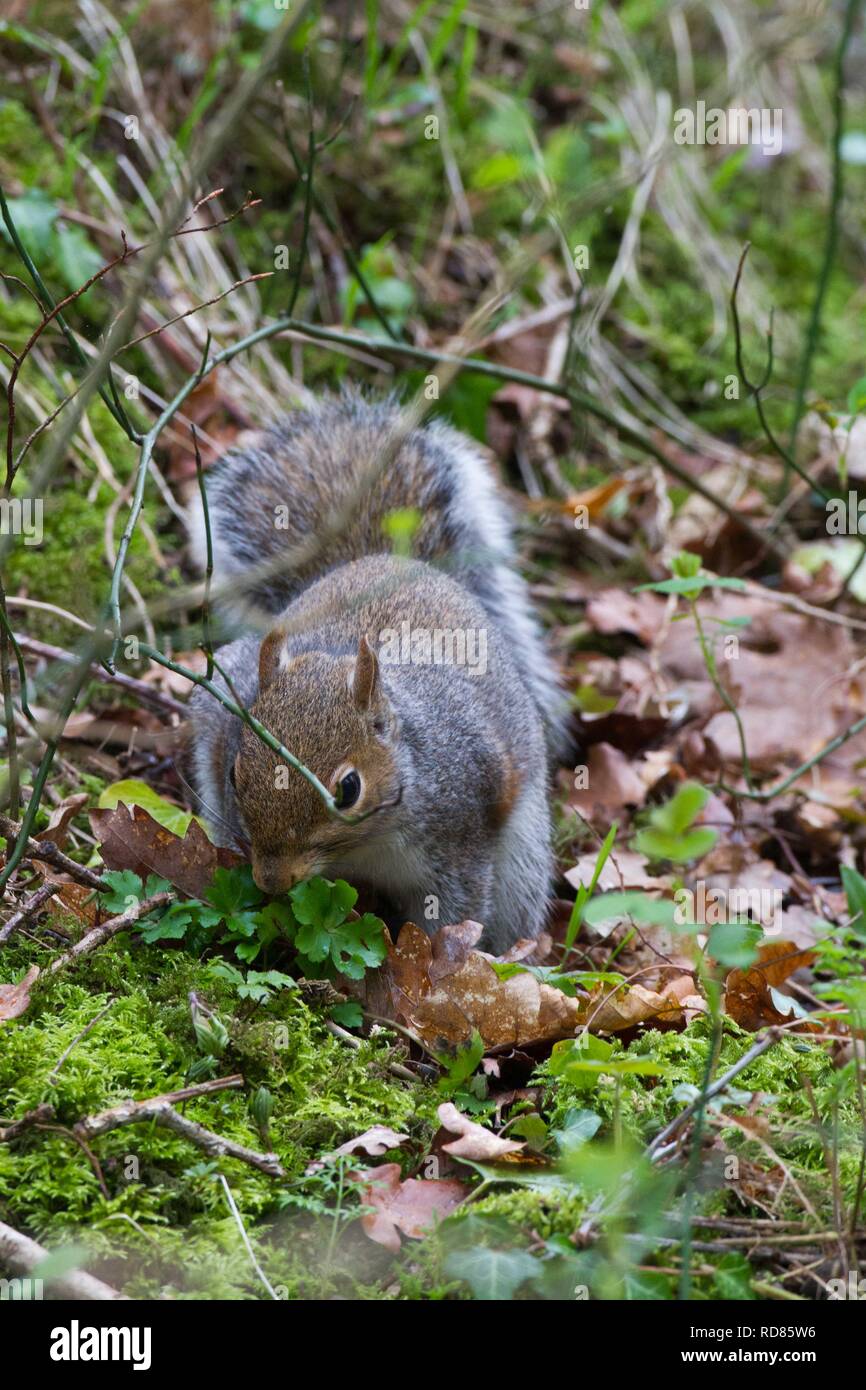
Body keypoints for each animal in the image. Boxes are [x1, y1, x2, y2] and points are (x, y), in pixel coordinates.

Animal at [186, 391, 568, 951]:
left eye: (348, 789)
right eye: (235, 772)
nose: (271, 880)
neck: (362, 848)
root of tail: (388, 560)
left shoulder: (459, 834)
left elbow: (452, 914)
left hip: (520, 856)